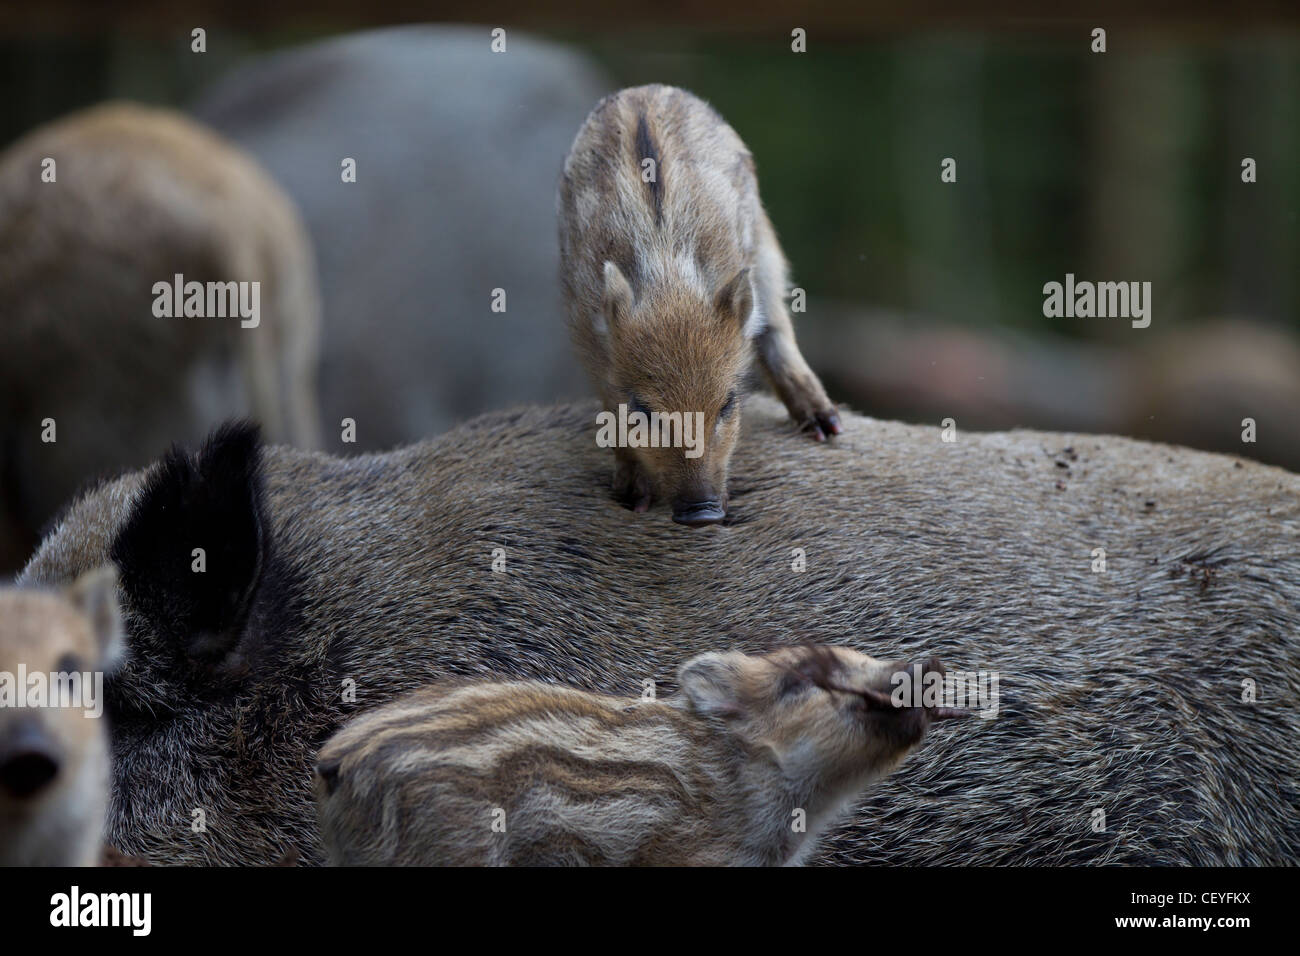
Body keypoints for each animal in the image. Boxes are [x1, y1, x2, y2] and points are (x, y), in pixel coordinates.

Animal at [558, 84, 840, 525]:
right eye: (644, 410)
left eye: (728, 403)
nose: (702, 513)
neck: (669, 275)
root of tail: (643, 90)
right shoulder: (584, 332)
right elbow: (609, 404)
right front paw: (633, 499)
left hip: (765, 251)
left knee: (776, 330)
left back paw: (827, 427)